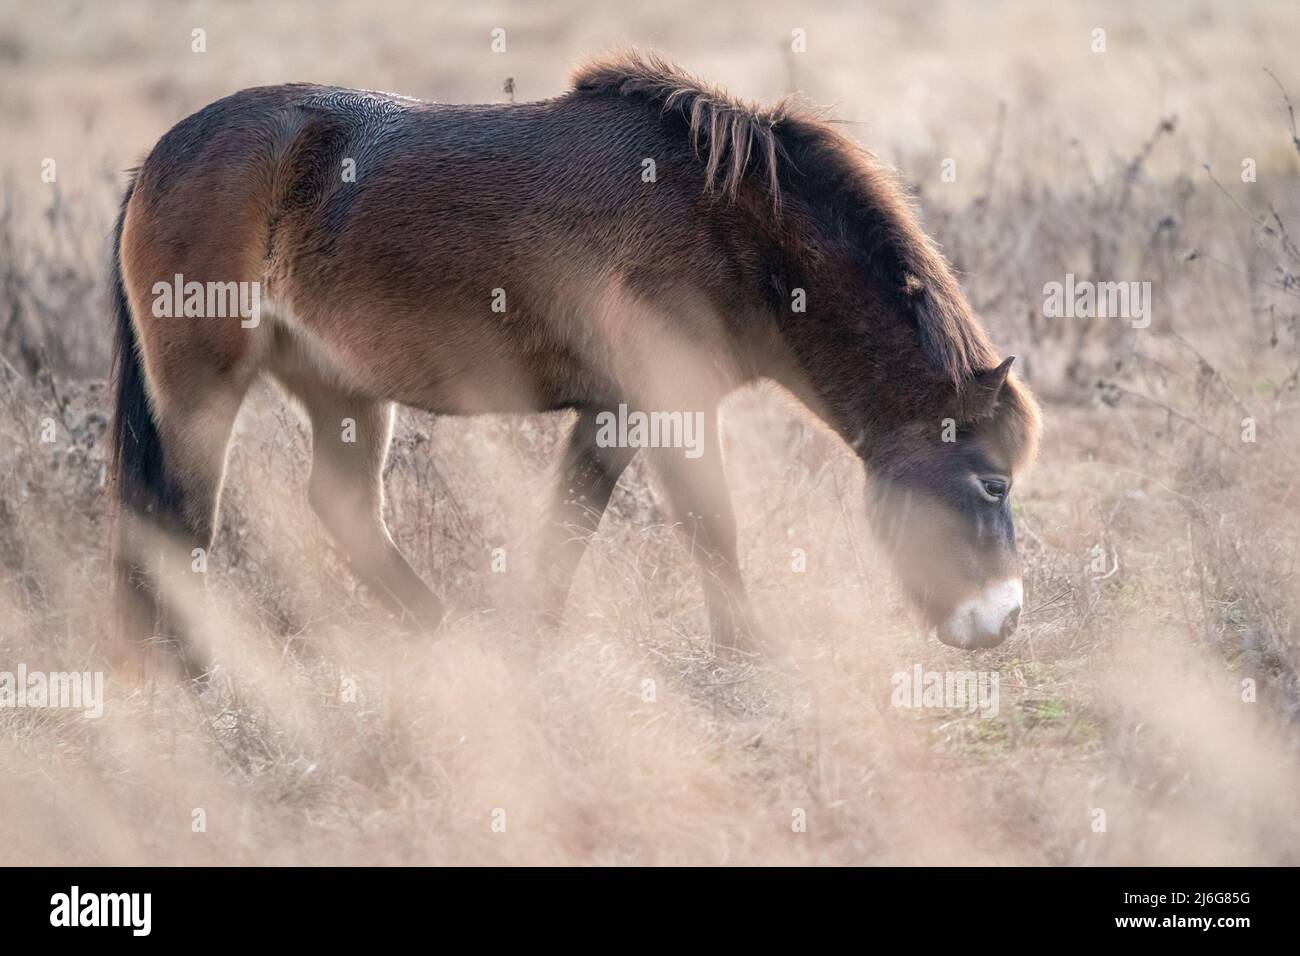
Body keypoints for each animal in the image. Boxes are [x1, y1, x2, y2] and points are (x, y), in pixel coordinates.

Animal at [108, 50, 1041, 676]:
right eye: (992, 483)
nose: (1001, 620)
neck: (732, 226)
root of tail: (156, 159)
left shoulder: (614, 411)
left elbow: (568, 526)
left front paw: (529, 643)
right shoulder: (671, 403)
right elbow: (711, 525)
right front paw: (750, 649)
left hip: (341, 390)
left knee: (340, 509)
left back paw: (438, 633)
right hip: (203, 390)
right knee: (183, 527)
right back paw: (204, 678)